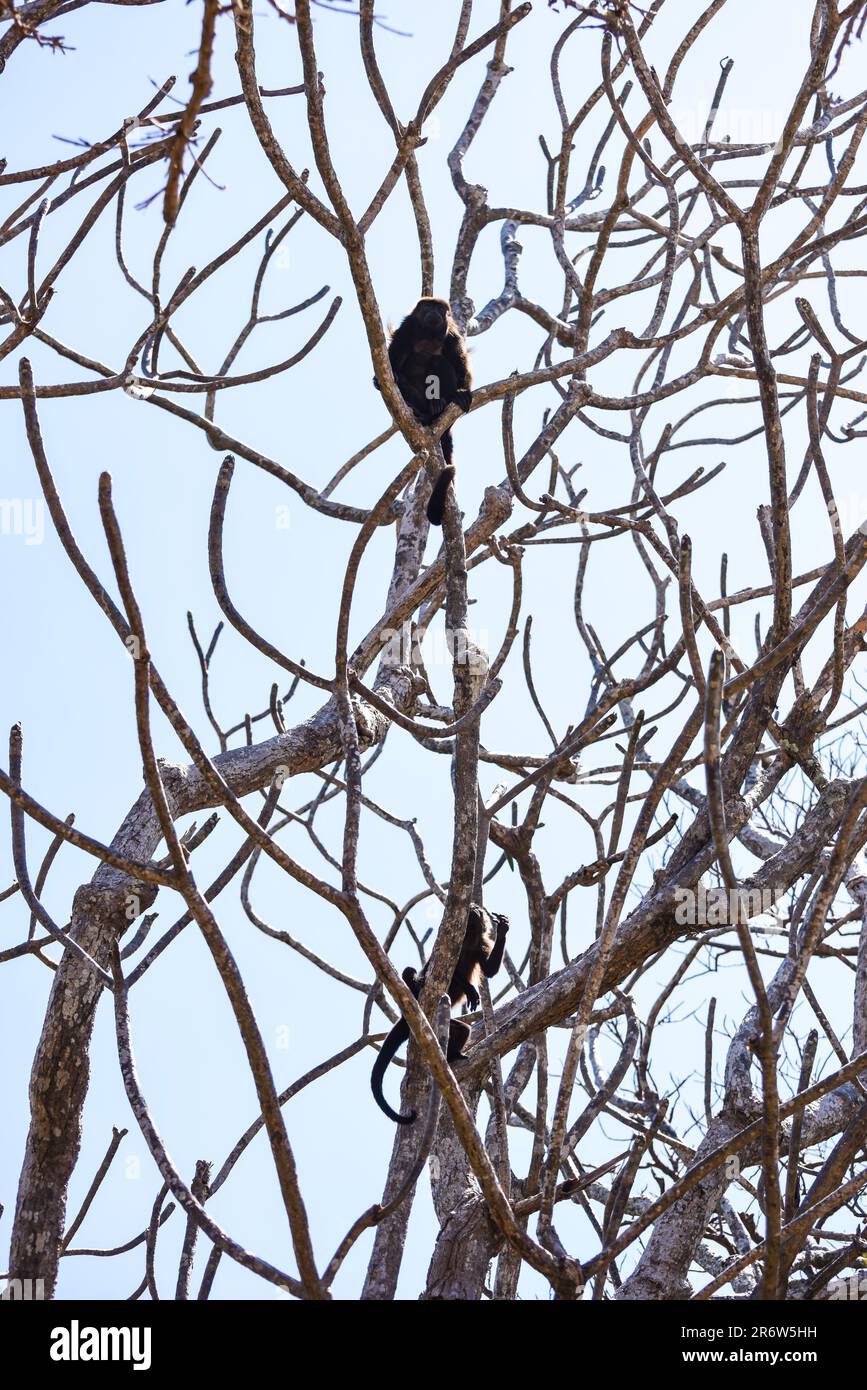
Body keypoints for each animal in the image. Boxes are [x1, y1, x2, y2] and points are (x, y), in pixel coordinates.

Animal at [370, 905, 509, 1125]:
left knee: (463, 1029)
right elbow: (455, 975)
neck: (469, 938)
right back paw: (416, 983)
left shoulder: (481, 946)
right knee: (409, 971)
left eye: (478, 909)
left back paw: (453, 1056)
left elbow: (489, 970)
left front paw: (503, 929)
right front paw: (469, 989)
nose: (474, 908)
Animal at [373, 296, 472, 526]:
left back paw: (439, 406)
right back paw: (421, 412)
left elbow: (461, 366)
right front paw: (382, 379)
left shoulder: (452, 337)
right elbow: (391, 359)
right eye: (428, 306)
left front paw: (464, 393)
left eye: (439, 308)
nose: (433, 311)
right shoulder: (406, 329)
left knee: (440, 362)